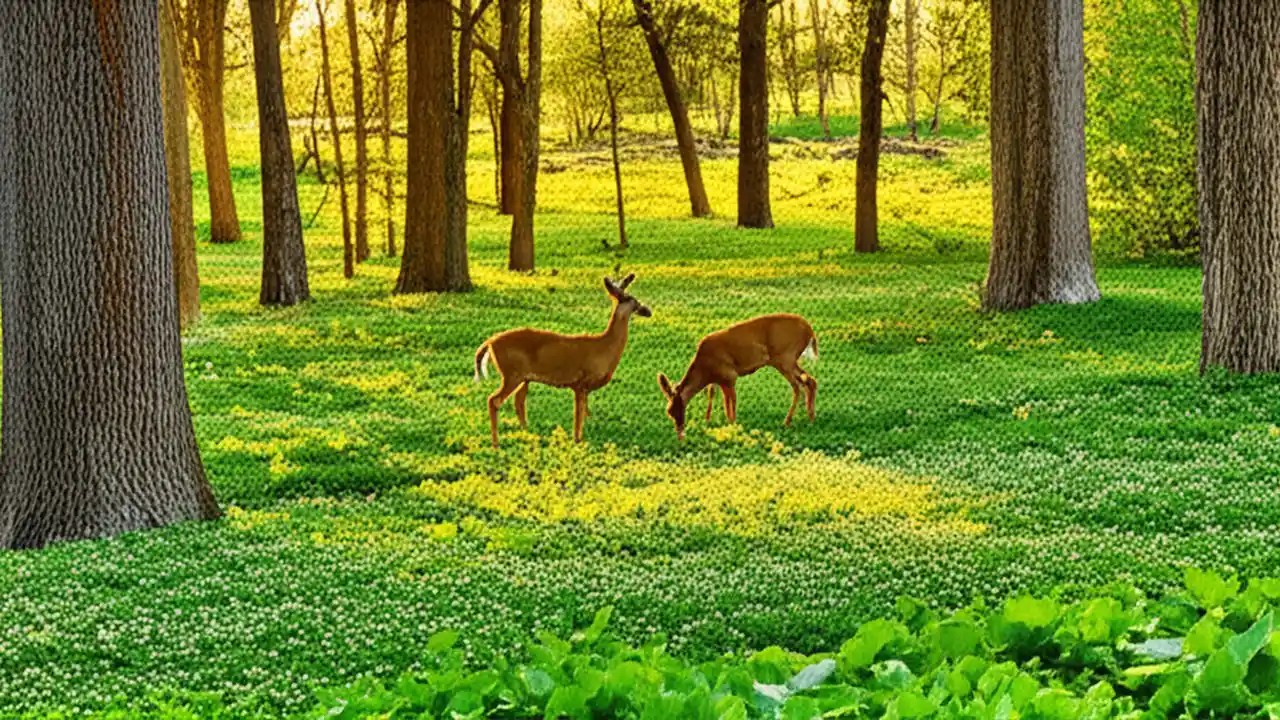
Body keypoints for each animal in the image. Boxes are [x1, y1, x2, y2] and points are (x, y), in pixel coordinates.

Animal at [474, 274, 651, 448]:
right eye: (634, 300)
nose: (648, 311)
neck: (604, 347)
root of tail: (490, 343)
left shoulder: (583, 387)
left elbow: (585, 413)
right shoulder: (581, 382)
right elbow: (579, 414)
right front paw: (577, 440)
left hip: (523, 378)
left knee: (518, 402)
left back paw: (527, 432)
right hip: (511, 373)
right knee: (494, 401)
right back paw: (496, 444)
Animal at [657, 314, 818, 441]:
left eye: (675, 410)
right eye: (669, 412)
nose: (680, 435)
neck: (704, 368)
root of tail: (810, 331)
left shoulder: (729, 376)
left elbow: (730, 402)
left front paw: (732, 427)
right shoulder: (719, 380)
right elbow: (716, 396)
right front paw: (710, 421)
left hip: (784, 357)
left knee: (799, 385)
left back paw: (788, 421)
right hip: (789, 360)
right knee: (808, 382)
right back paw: (809, 418)